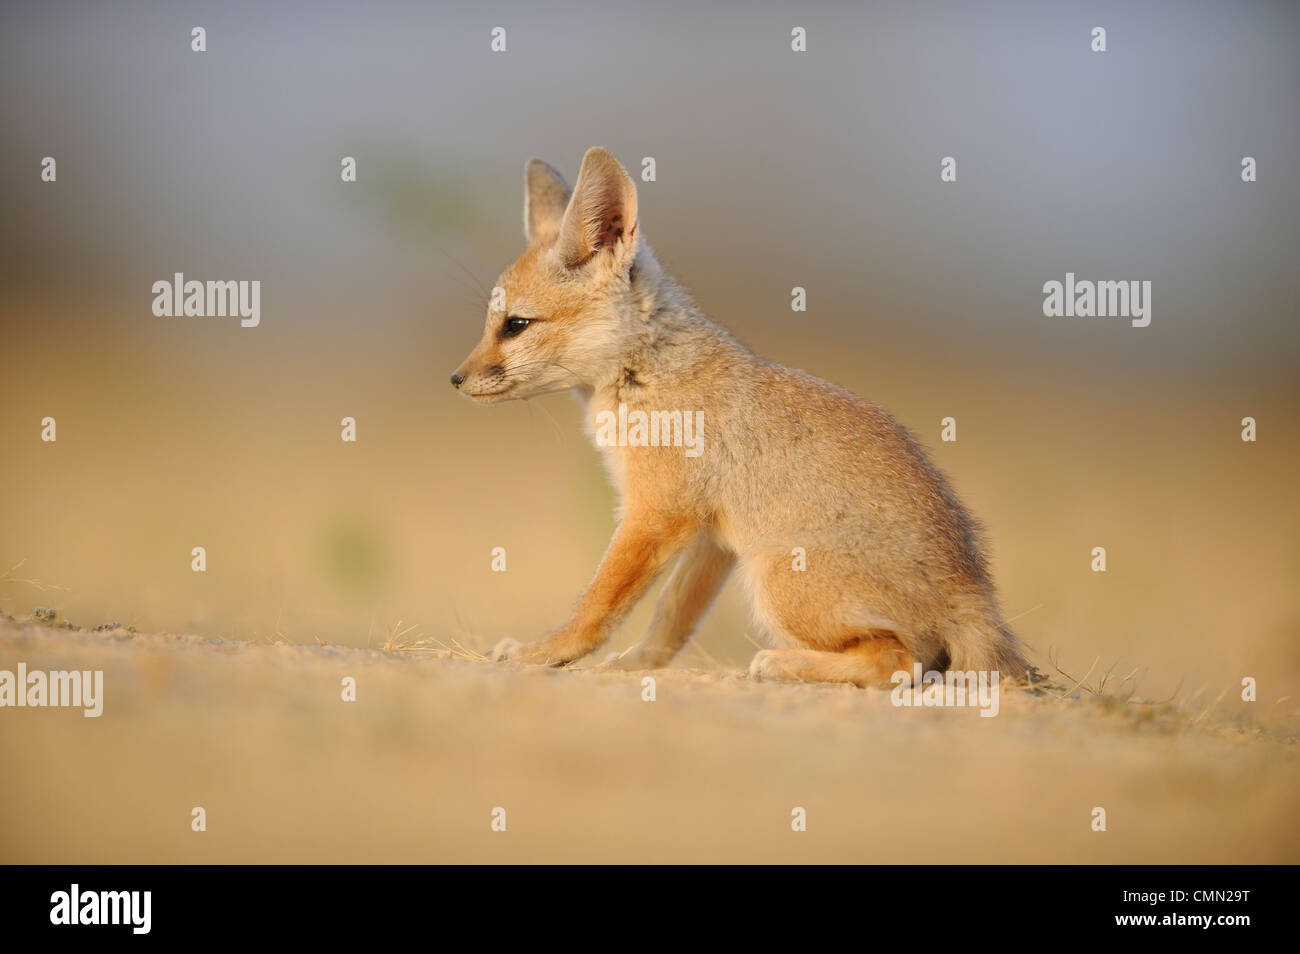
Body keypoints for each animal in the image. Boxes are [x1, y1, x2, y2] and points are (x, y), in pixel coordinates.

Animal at [451, 147, 1030, 688]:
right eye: (491, 324)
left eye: (516, 325)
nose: (455, 379)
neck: (646, 373)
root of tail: (973, 589)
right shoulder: (711, 536)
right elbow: (671, 619)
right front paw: (632, 665)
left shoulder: (655, 514)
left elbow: (597, 606)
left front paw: (544, 652)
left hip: (774, 573)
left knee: (899, 662)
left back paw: (780, 662)